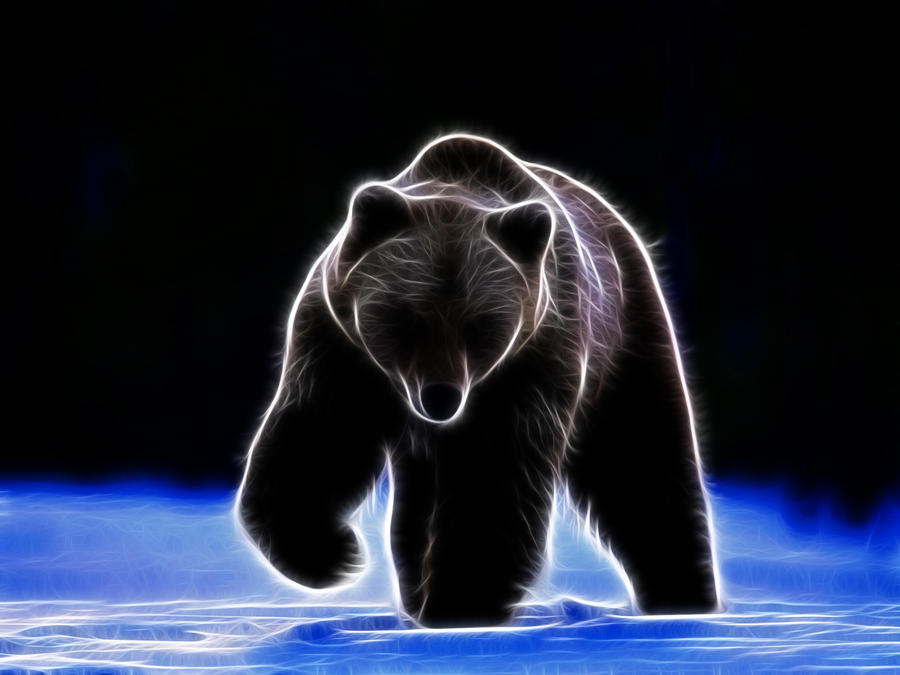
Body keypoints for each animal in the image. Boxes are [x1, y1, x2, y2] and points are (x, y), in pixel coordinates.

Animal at [235, 134, 722, 628]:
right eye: (407, 318)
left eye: (480, 325)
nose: (441, 397)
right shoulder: (341, 348)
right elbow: (318, 439)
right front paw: (336, 556)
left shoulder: (532, 362)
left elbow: (496, 476)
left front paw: (460, 604)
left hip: (625, 336)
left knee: (641, 462)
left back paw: (683, 600)